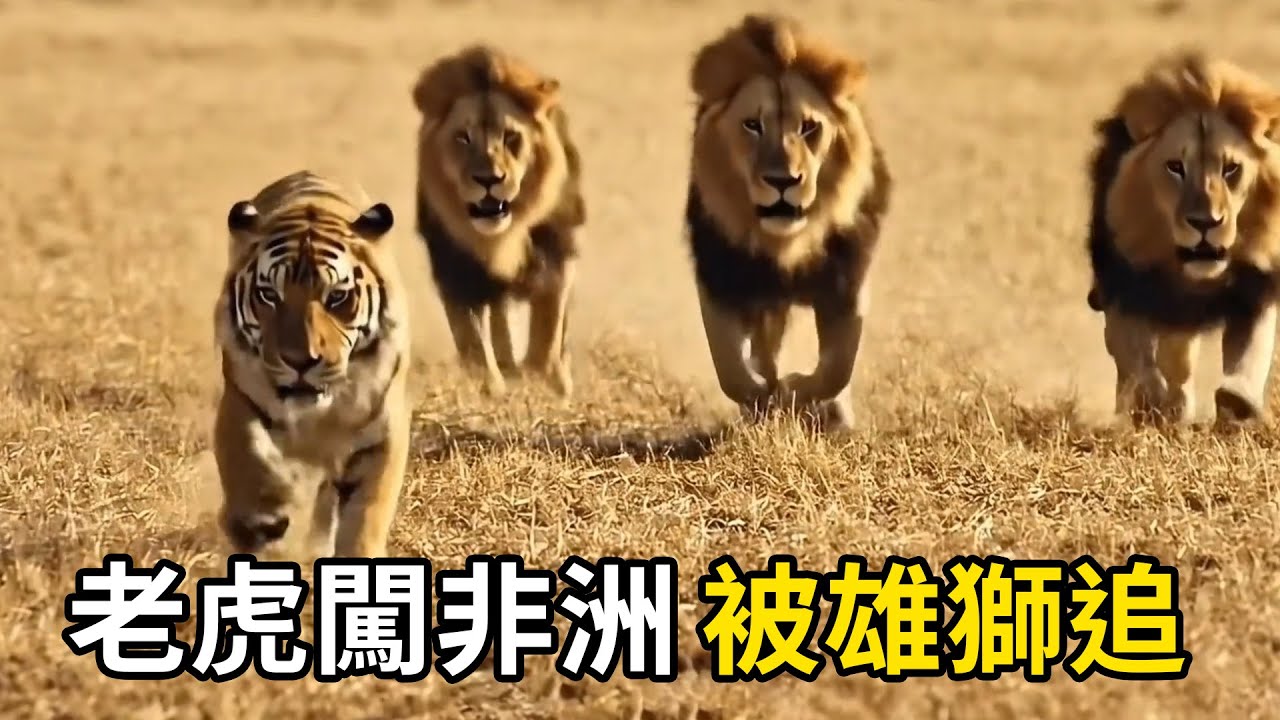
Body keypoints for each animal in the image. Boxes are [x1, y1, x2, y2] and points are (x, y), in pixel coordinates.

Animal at [212, 170, 411, 558]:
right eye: (268, 295)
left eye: (337, 297)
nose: (300, 360)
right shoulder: (239, 401)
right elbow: (247, 455)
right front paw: (263, 515)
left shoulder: (383, 433)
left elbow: (366, 516)